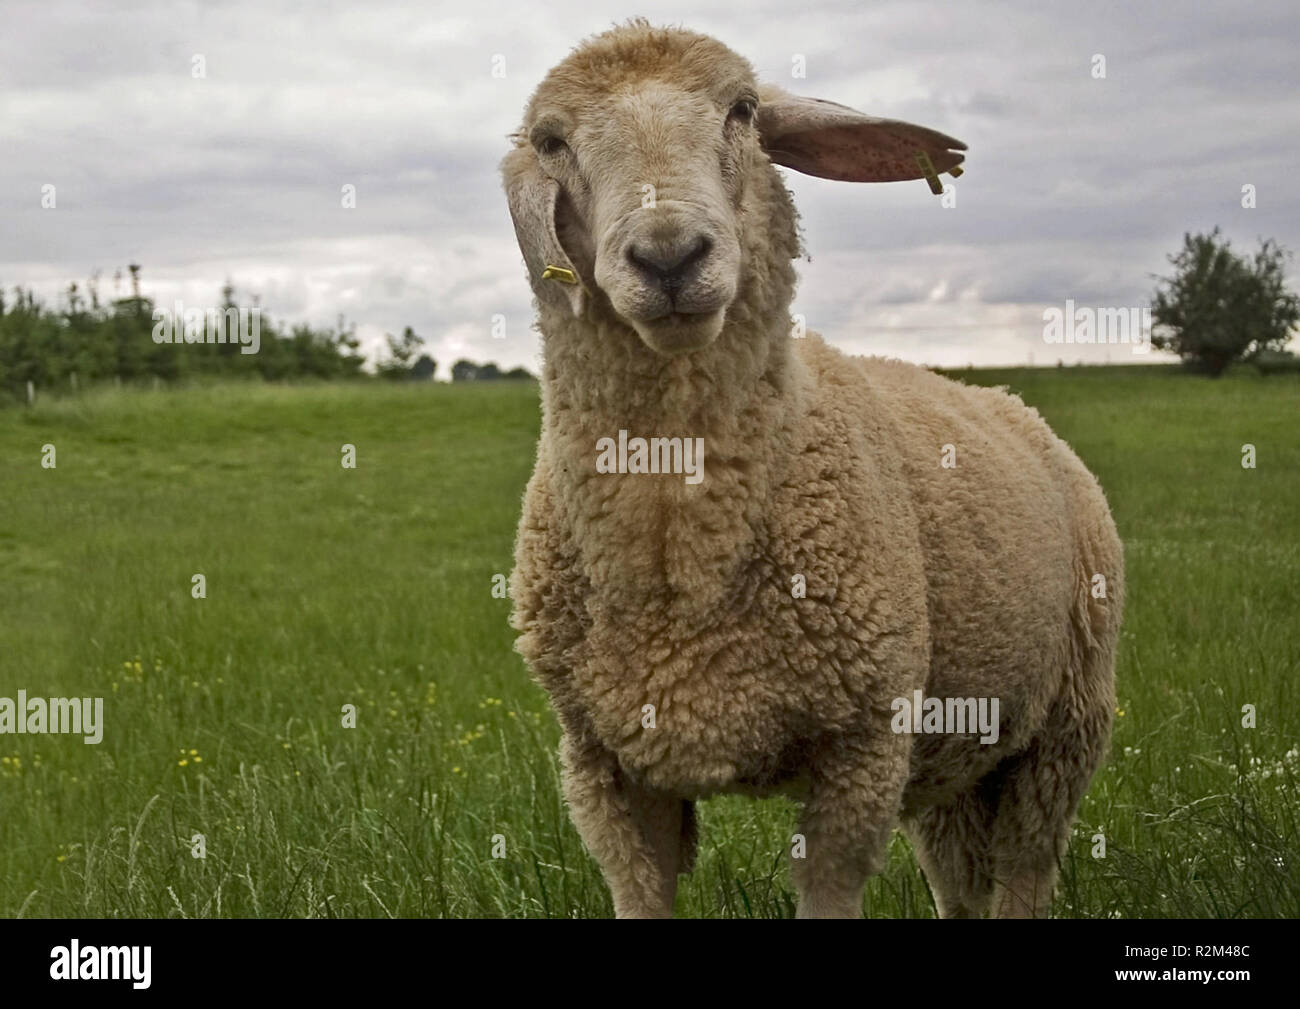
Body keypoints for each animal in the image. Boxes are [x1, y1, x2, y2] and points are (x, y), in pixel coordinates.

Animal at [503, 20, 1123, 919]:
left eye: (744, 111)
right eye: (551, 140)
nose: (668, 256)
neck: (680, 570)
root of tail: (1013, 403)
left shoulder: (862, 747)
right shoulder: (604, 765)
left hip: (1065, 725)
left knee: (1025, 873)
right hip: (950, 753)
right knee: (960, 878)